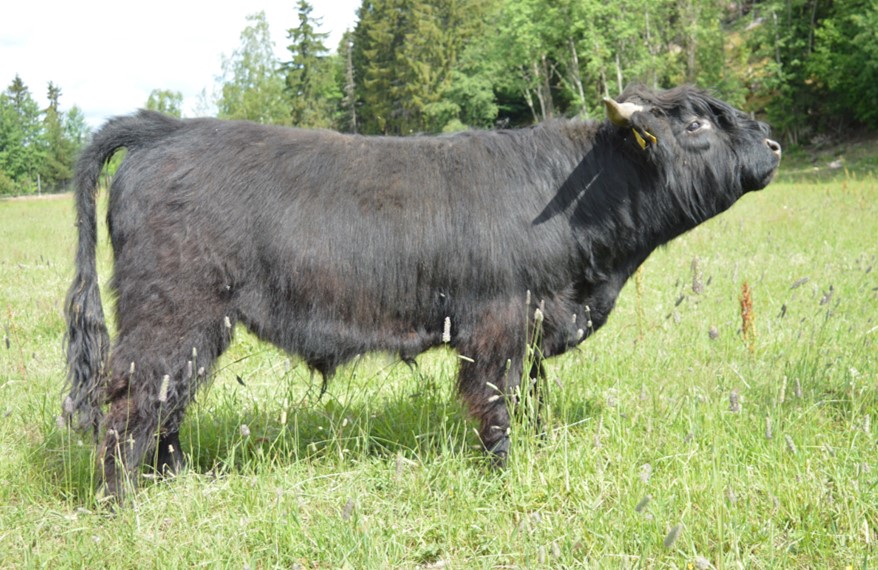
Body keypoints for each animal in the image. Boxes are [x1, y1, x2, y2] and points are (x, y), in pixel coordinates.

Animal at [64, 85, 781, 500]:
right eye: (697, 126)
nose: (773, 145)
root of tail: (167, 129)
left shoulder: (533, 322)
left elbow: (531, 393)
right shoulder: (497, 321)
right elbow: (495, 399)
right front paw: (501, 472)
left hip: (196, 326)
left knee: (168, 400)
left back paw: (174, 480)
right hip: (170, 313)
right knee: (131, 401)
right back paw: (122, 501)